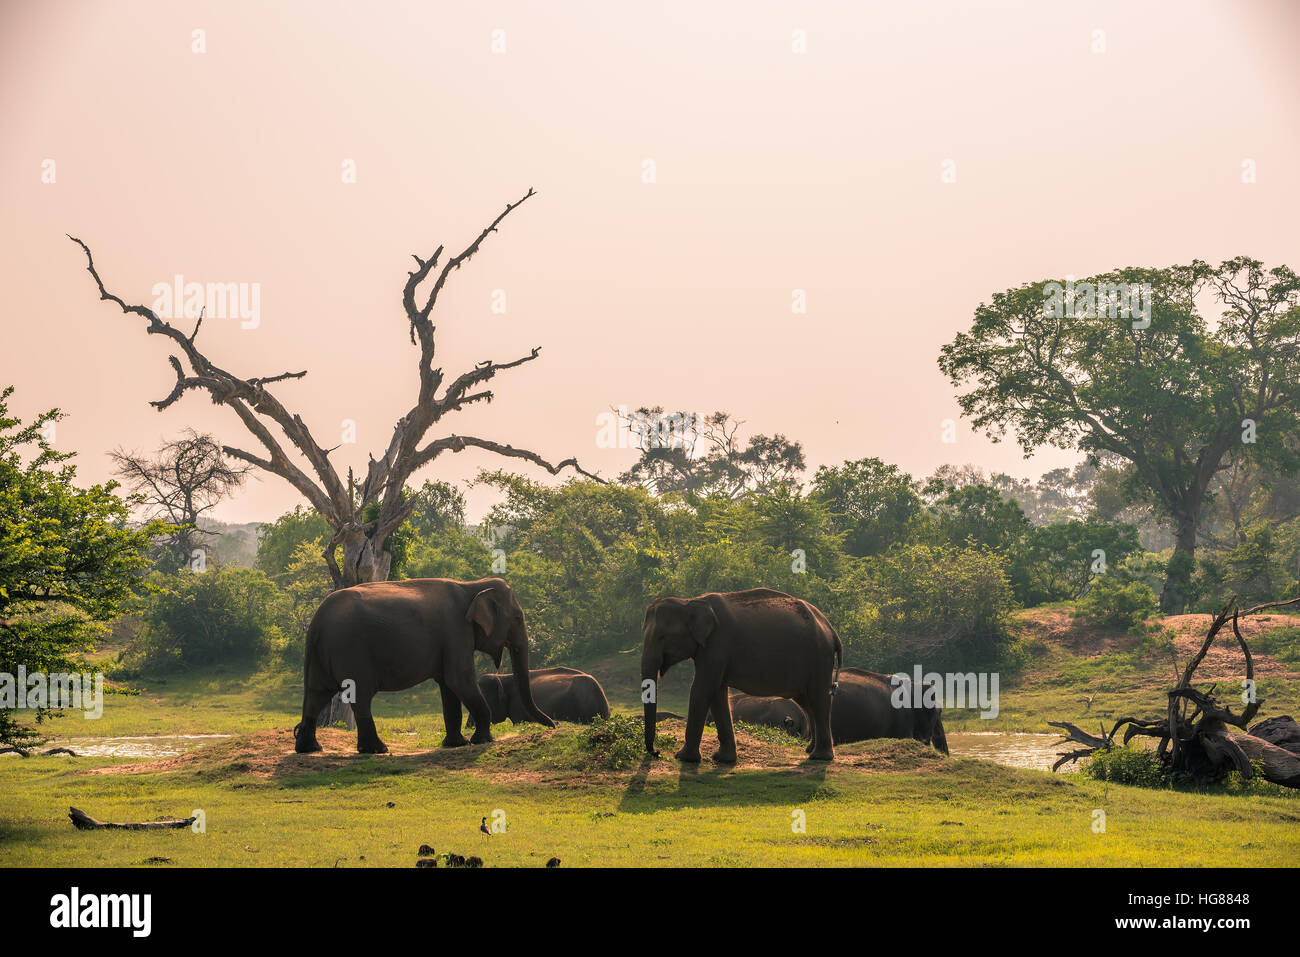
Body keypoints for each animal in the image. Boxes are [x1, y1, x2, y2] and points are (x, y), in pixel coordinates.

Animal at [293, 577, 554, 754]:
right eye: (518, 618)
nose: (554, 725)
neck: (472, 586)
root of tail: (316, 620)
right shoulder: (456, 631)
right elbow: (459, 679)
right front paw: (483, 741)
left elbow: (448, 685)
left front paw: (455, 744)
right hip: (351, 650)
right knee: (360, 695)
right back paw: (378, 749)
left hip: (320, 654)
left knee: (316, 694)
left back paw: (310, 748)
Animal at [641, 588, 842, 763]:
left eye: (662, 637)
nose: (656, 752)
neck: (690, 602)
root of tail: (831, 629)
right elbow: (717, 692)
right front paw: (723, 759)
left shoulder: (717, 644)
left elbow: (702, 688)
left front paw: (684, 758)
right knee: (807, 702)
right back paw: (810, 750)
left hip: (819, 656)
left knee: (818, 698)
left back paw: (820, 757)